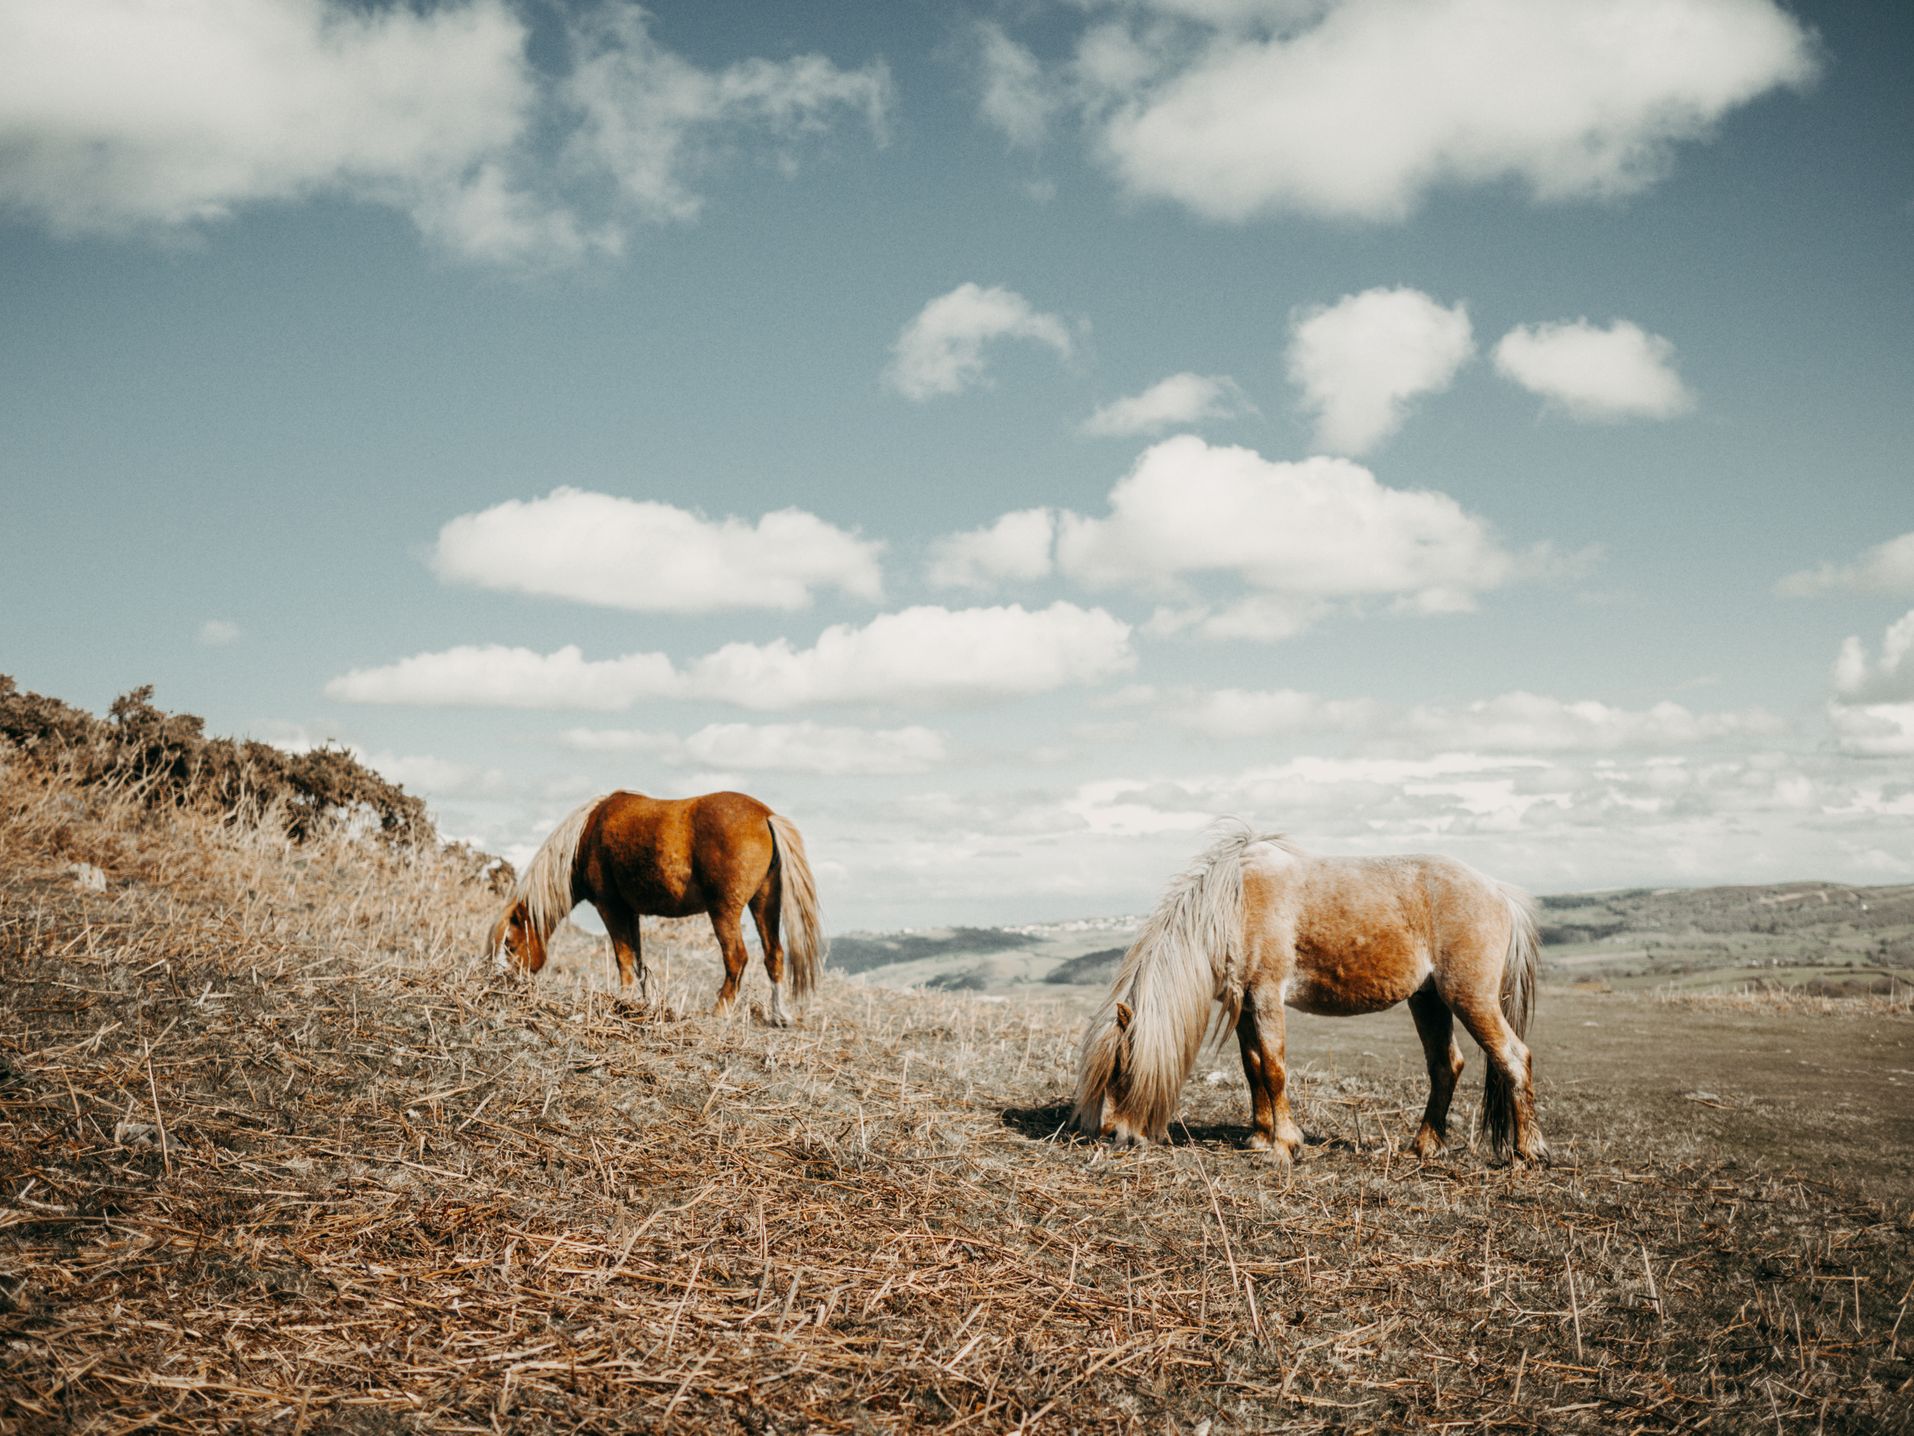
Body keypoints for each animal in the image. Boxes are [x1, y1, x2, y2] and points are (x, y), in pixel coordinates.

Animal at [487, 790, 826, 1026]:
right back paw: (780, 1016)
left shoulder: (610, 907)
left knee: (736, 957)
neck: (587, 834)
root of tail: (766, 816)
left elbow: (623, 958)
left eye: (510, 945)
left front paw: (622, 1001)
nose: (502, 984)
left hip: (724, 910)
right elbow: (637, 961)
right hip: (765, 902)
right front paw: (641, 1002)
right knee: (774, 955)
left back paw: (720, 1011)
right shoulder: (631, 912)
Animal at [1071, 822, 1547, 1166]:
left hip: (1469, 996)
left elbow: (1275, 1069)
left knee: (1513, 1057)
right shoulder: (1245, 1005)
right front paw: (1260, 1137)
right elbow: (1253, 1067)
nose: (1112, 1135)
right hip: (1427, 1000)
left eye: (1119, 1071)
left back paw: (1527, 1152)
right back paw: (1425, 1146)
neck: (1234, 904)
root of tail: (1498, 891)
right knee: (1445, 1065)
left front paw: (1284, 1146)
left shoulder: (1266, 995)